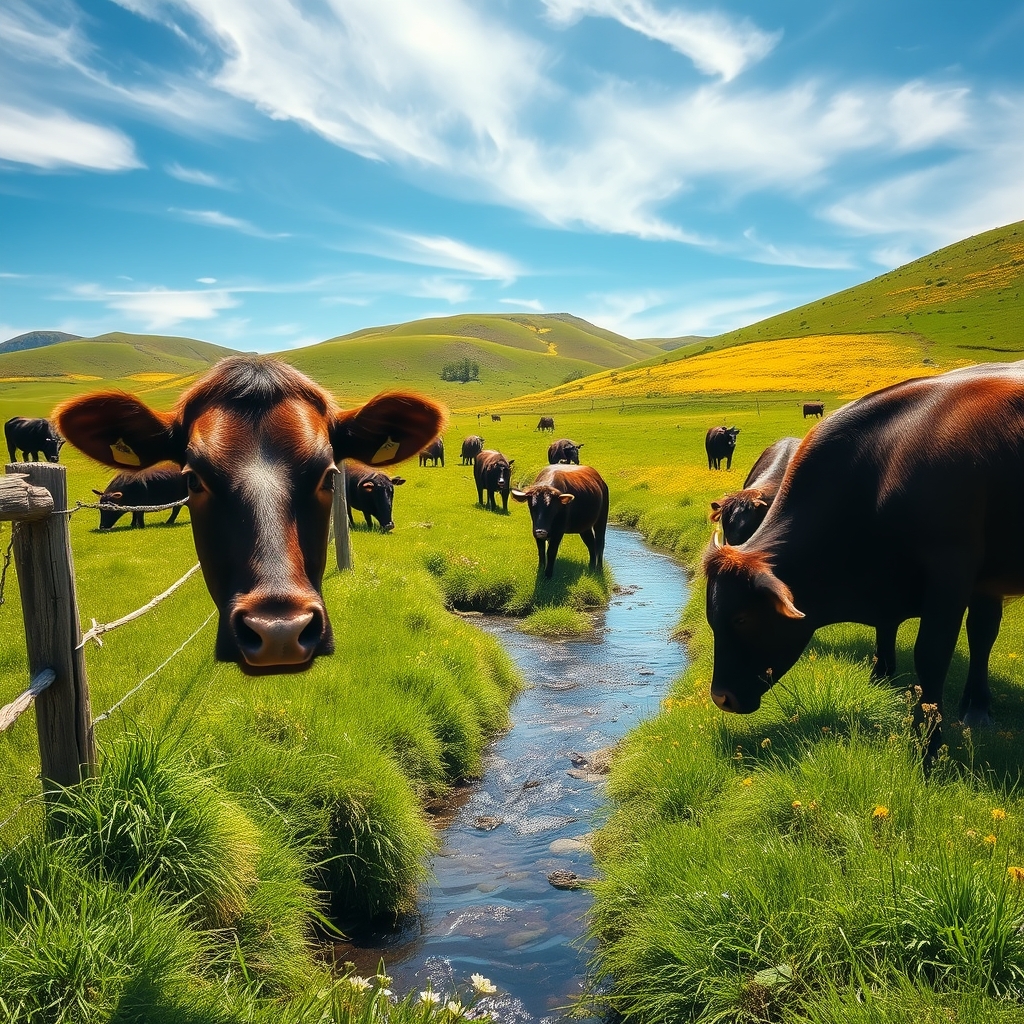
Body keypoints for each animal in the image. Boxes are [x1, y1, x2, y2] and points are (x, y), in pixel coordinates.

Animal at [703, 363, 1024, 751]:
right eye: (712, 617)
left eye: (742, 618)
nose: (721, 697)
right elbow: (902, 630)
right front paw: (884, 676)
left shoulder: (952, 576)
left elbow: (932, 655)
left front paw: (928, 743)